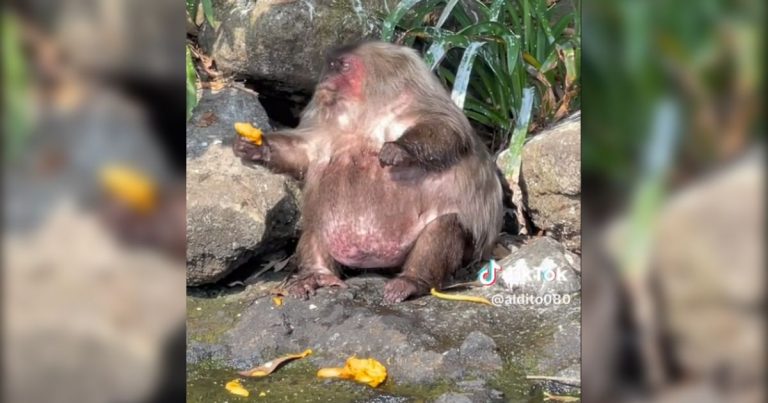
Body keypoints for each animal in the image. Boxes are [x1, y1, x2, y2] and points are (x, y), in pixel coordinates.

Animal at [234, 41, 503, 303]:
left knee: (445, 224)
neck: (364, 113)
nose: (325, 78)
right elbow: (304, 154)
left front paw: (400, 148)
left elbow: (447, 131)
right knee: (318, 222)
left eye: (342, 66)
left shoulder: (417, 101)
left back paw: (413, 281)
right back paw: (316, 274)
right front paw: (259, 148)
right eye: (330, 65)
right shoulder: (323, 122)